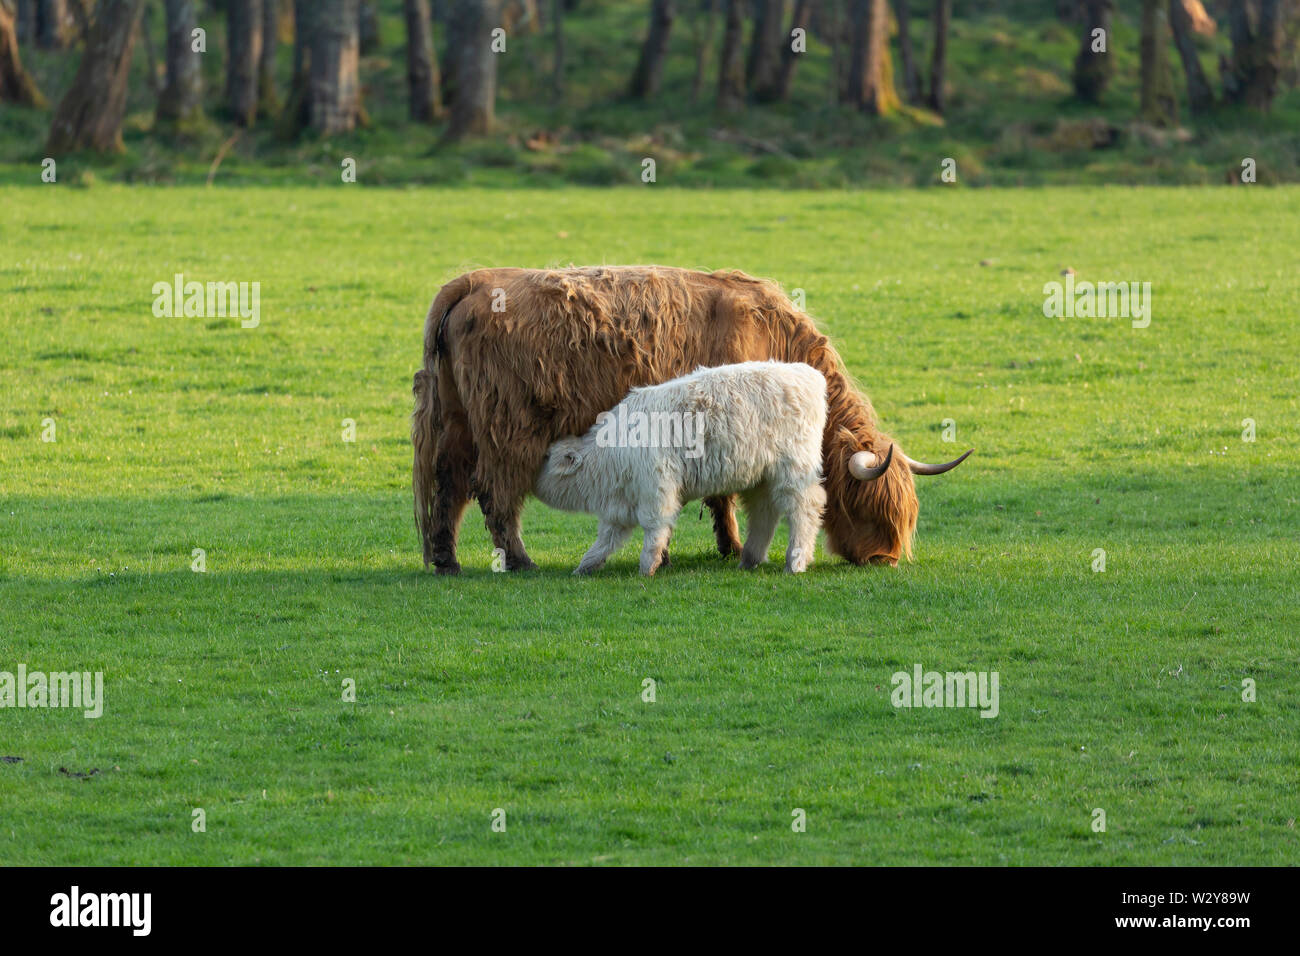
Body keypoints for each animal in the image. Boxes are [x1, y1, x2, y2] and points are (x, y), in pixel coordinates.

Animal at [535, 361, 829, 576]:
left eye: (546, 457)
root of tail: (807, 373)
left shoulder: (657, 489)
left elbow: (654, 529)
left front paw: (647, 567)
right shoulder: (621, 506)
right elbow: (607, 538)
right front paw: (586, 565)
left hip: (794, 473)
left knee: (804, 511)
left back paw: (795, 561)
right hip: (762, 479)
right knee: (764, 515)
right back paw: (750, 559)